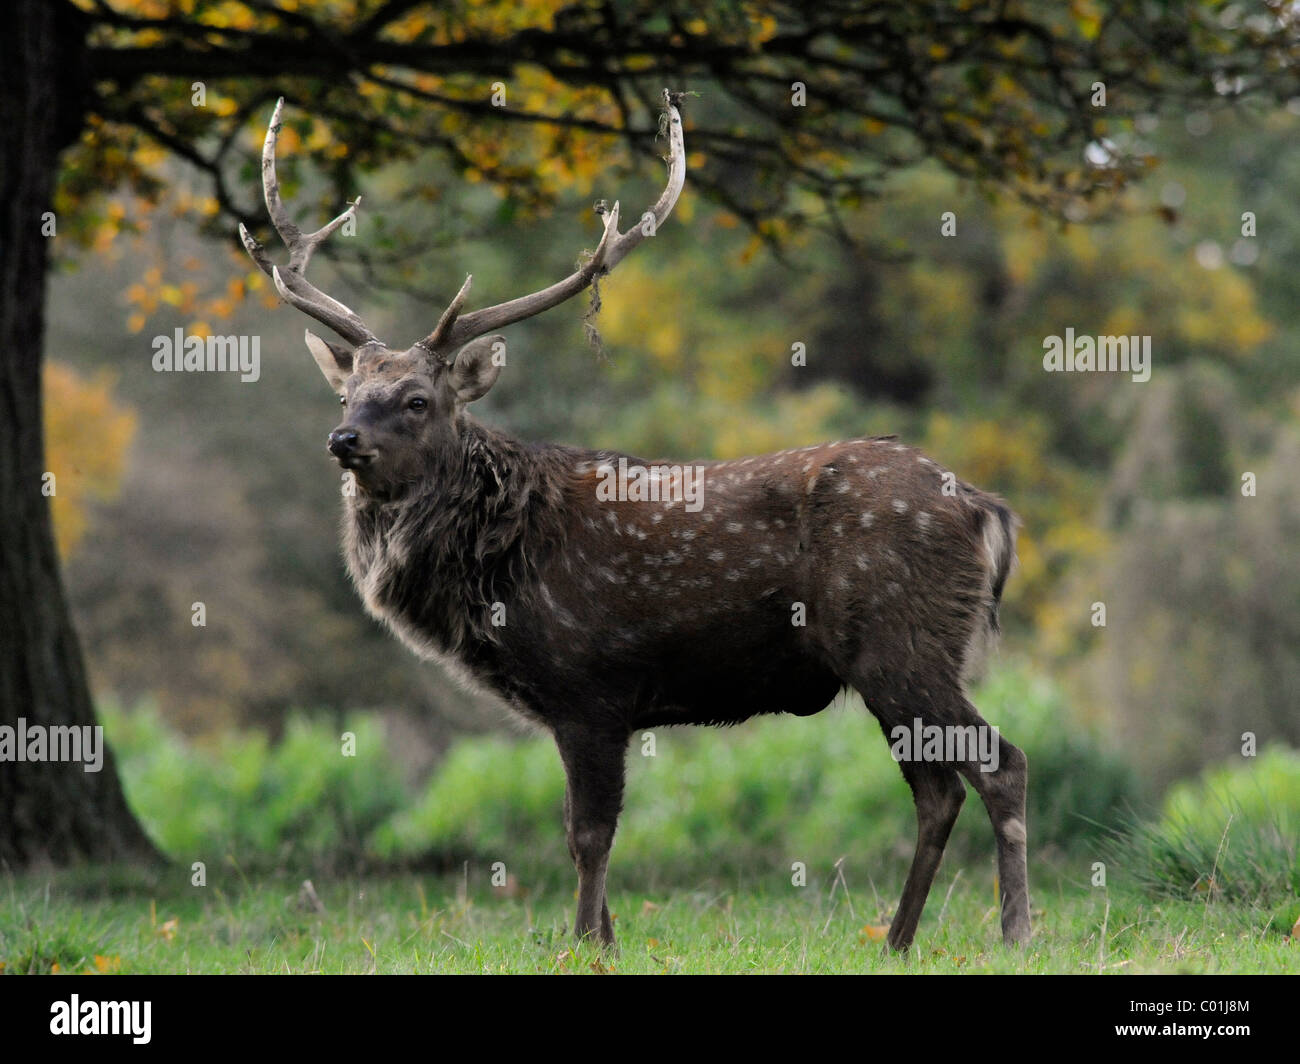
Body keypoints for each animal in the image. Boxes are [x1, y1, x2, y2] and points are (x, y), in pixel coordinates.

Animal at [240, 90, 1030, 953]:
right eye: (348, 394)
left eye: (417, 399)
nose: (342, 439)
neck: (497, 571)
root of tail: (987, 510)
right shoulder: (569, 705)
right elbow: (577, 831)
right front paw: (605, 938)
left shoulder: (594, 682)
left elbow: (590, 833)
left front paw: (585, 943)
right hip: (901, 656)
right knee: (938, 787)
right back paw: (896, 939)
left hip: (901, 638)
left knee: (998, 763)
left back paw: (1013, 932)